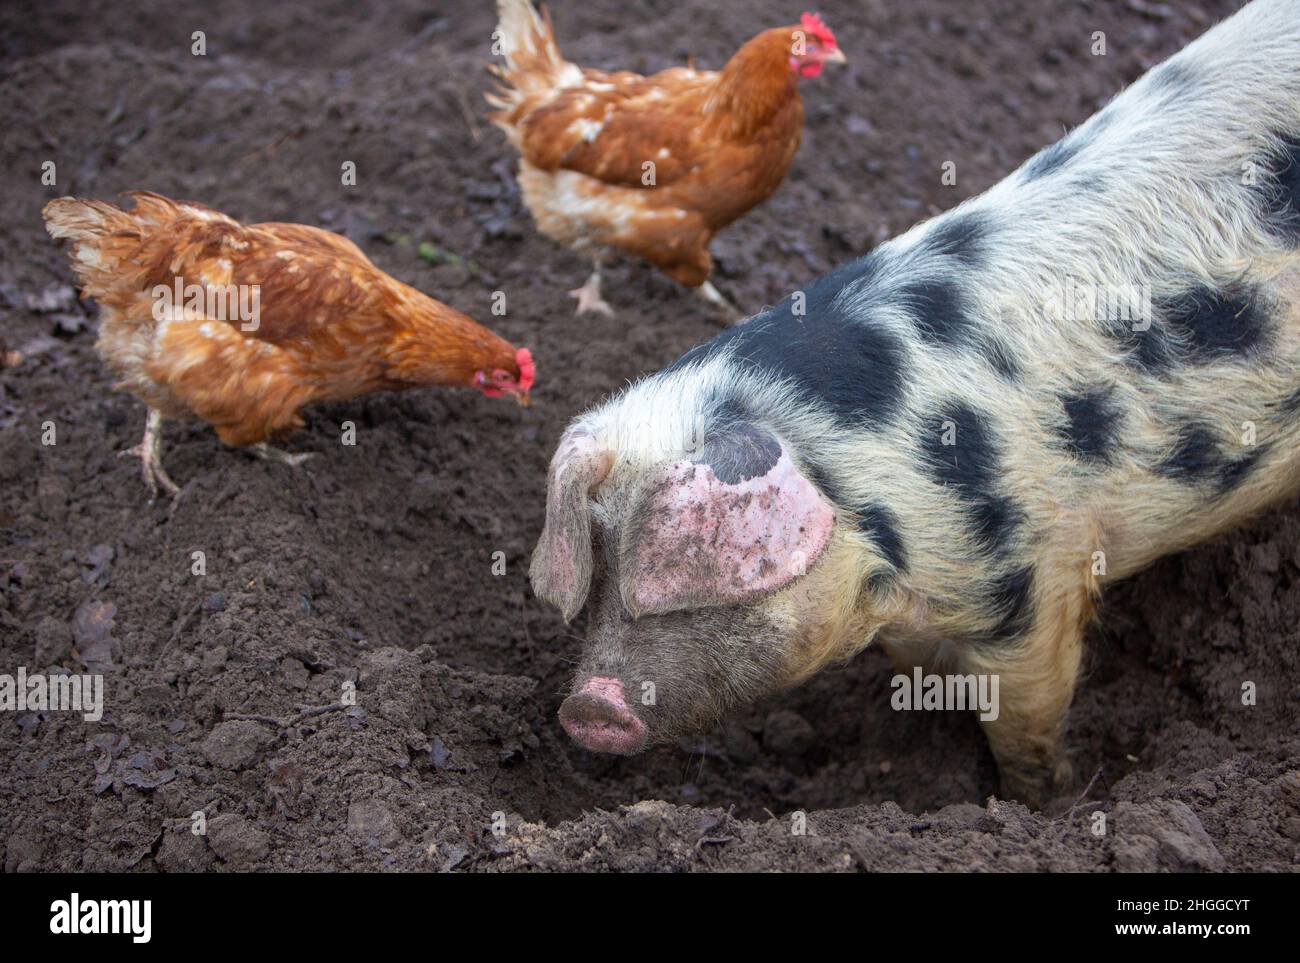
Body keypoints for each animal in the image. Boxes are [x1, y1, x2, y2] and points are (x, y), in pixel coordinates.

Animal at [530, 0, 1300, 806]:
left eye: (681, 587)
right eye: (598, 562)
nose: (588, 708)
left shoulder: (1034, 582)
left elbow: (1028, 717)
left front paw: (1040, 800)